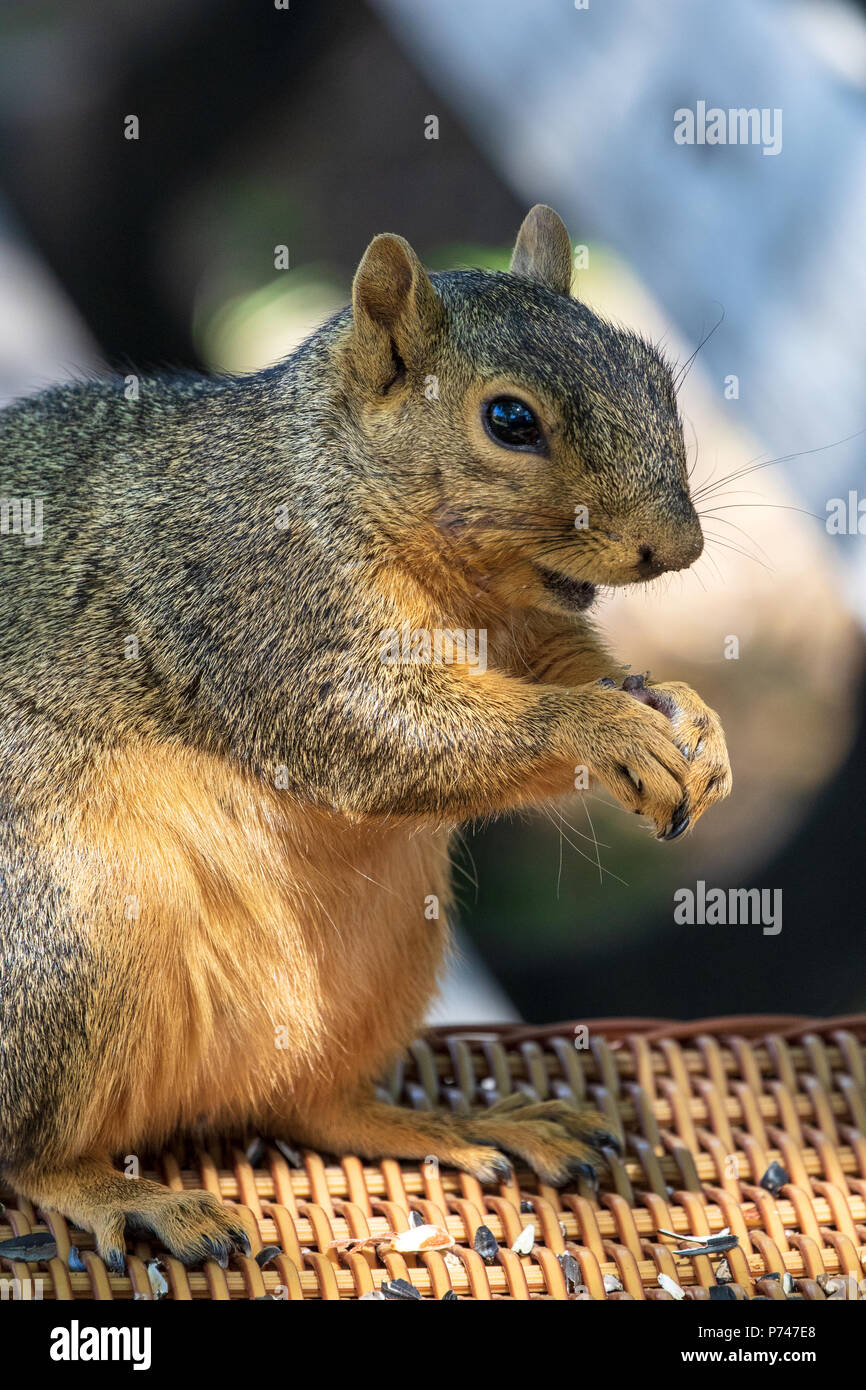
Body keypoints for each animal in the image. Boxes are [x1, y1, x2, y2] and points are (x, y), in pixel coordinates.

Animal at [0, 205, 731, 1269]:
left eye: (652, 375)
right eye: (509, 421)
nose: (679, 549)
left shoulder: (536, 632)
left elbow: (581, 671)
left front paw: (690, 720)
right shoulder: (263, 603)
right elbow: (376, 731)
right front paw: (602, 726)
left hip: (376, 967)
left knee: (311, 1108)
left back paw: (463, 1126)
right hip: (72, 942)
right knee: (30, 1153)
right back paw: (121, 1196)